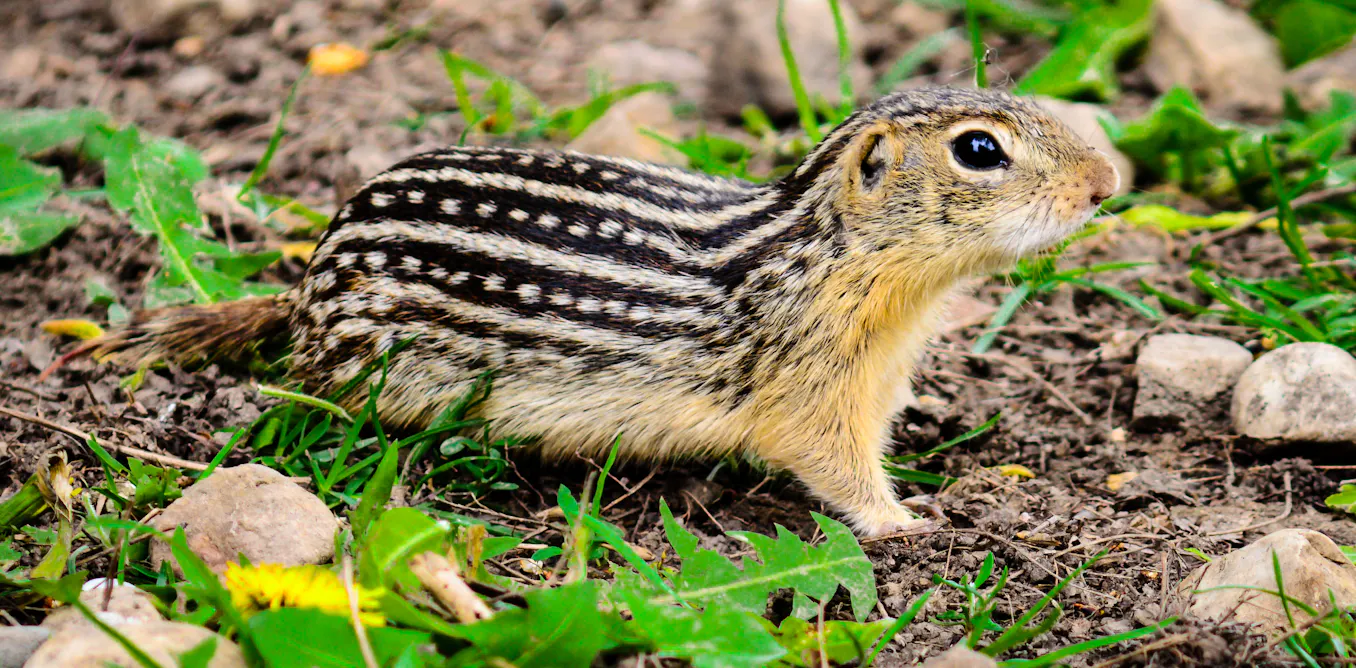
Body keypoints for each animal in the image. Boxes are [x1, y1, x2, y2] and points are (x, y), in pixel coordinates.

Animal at [80, 87, 1118, 536]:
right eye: (980, 150)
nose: (1108, 183)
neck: (832, 255)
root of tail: (307, 282)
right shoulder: (811, 394)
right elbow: (835, 469)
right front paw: (906, 522)